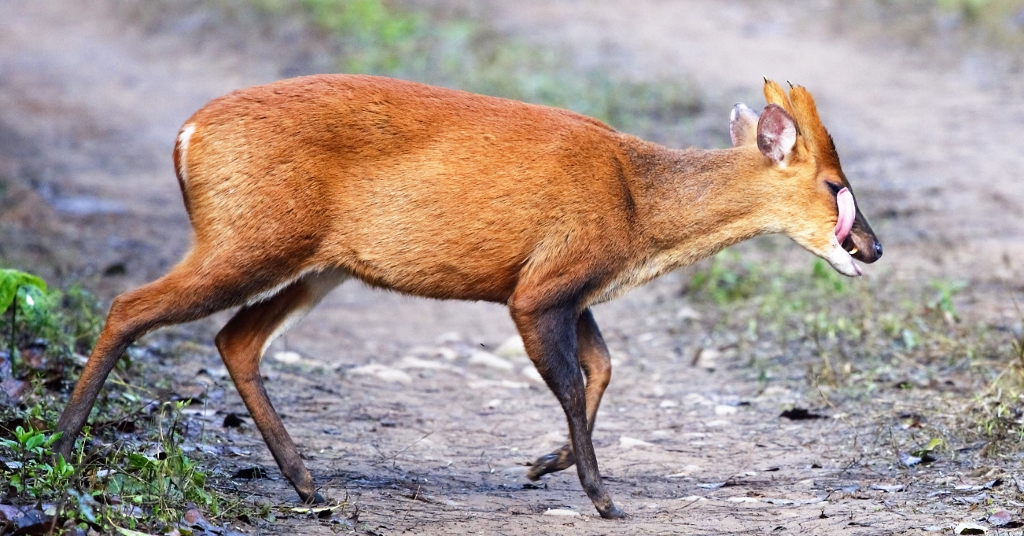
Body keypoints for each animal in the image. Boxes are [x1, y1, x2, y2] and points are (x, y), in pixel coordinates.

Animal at [53, 75, 881, 519]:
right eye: (834, 185)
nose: (871, 248)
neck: (638, 209)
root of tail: (186, 136)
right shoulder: (539, 288)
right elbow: (577, 384)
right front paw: (600, 496)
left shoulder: (566, 288)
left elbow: (603, 370)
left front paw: (543, 465)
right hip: (249, 239)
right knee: (132, 306)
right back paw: (60, 446)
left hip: (314, 262)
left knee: (237, 339)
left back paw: (308, 483)